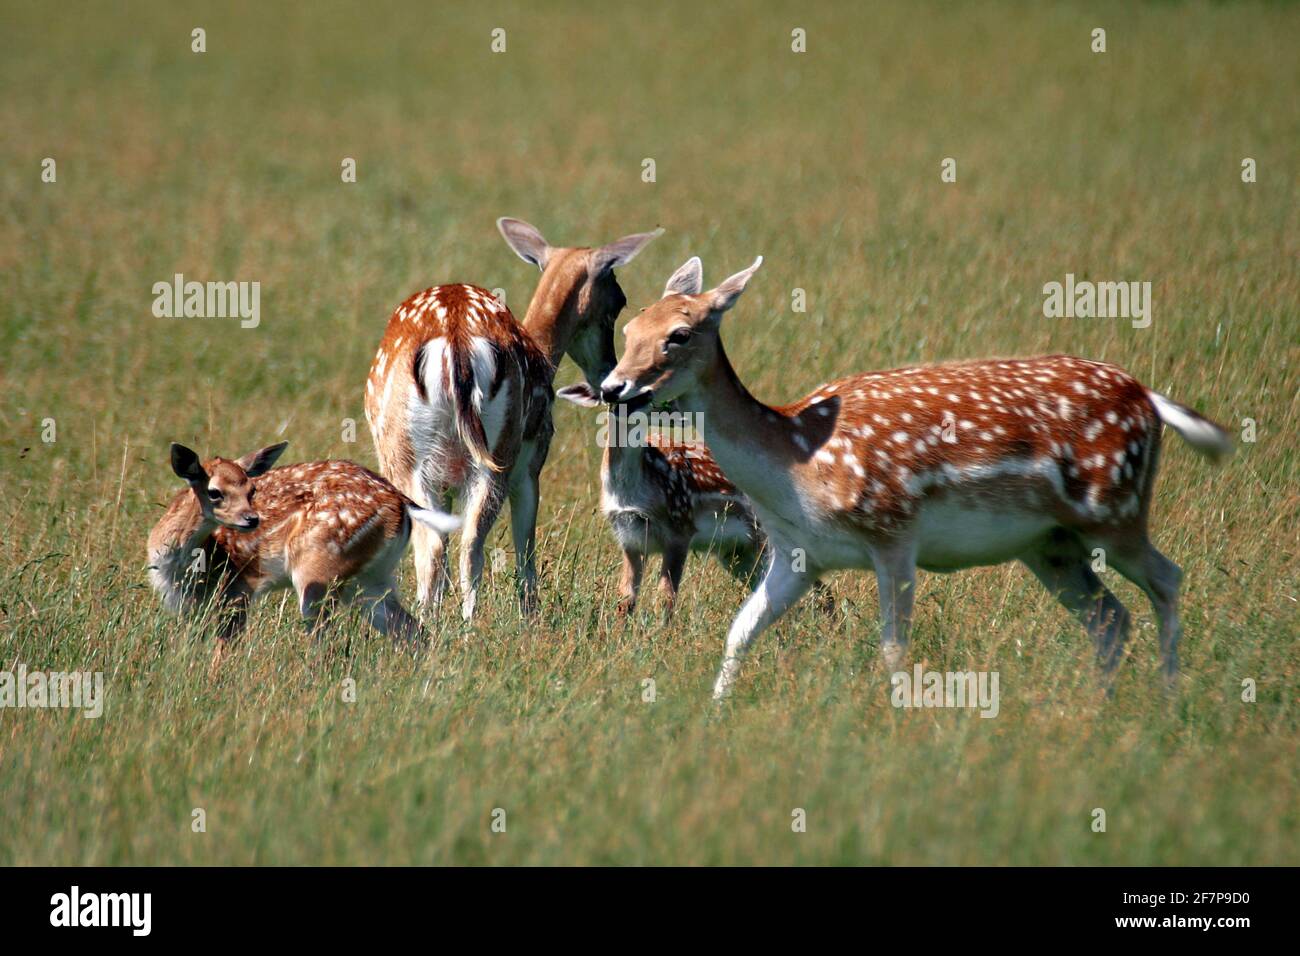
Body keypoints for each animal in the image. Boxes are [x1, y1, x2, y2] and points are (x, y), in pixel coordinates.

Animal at [147, 441, 460, 670]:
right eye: (214, 492)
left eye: (252, 489)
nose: (252, 519)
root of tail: (401, 501)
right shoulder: (185, 606)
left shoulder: (237, 587)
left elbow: (223, 649)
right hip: (372, 580)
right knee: (415, 632)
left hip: (317, 570)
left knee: (327, 648)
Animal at [365, 217, 662, 621]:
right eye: (619, 300)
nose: (608, 373)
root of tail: (456, 339)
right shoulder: (531, 462)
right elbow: (526, 542)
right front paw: (529, 614)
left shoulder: (487, 474)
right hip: (481, 456)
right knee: (461, 544)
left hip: (425, 458)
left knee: (446, 547)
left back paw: (443, 621)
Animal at [601, 255, 1235, 699]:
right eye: (629, 327)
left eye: (679, 334)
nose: (613, 387)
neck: (798, 464)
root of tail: (1149, 399)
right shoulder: (797, 554)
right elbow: (740, 632)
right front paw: (716, 713)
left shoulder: (894, 533)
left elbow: (893, 650)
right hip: (1051, 546)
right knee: (1111, 619)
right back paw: (1106, 706)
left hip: (1115, 508)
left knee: (1167, 578)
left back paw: (1168, 699)